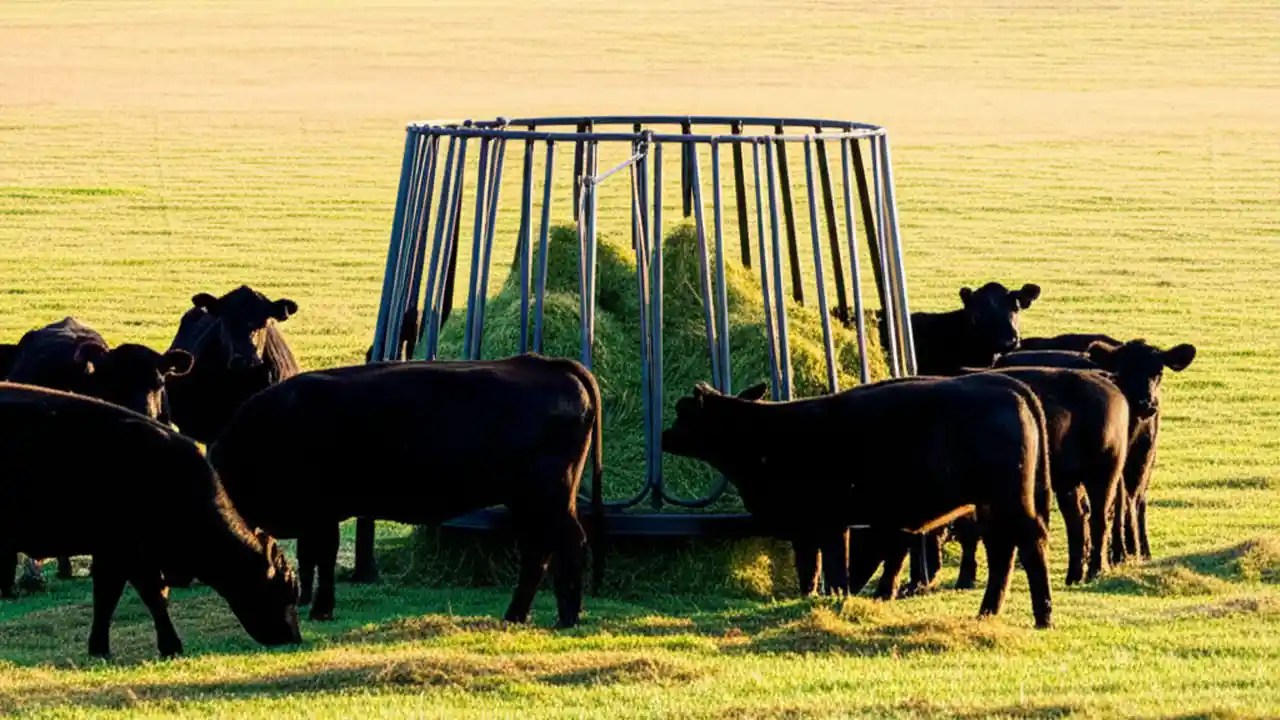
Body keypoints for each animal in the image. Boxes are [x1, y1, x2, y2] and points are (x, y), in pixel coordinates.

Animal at [0, 382, 302, 658]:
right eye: (285, 590)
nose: (294, 637)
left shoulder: (117, 555)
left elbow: (113, 597)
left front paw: (101, 648)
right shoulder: (127, 554)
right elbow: (145, 596)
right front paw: (169, 646)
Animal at [206, 353, 604, 628]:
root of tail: (544, 363)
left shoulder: (322, 512)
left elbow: (322, 556)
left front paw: (321, 609)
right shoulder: (317, 516)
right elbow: (312, 557)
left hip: (546, 496)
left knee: (568, 542)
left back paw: (567, 617)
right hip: (528, 501)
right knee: (538, 550)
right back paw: (516, 615)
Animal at [660, 374, 1055, 628]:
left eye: (682, 411)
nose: (664, 436)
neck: (767, 434)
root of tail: (1005, 385)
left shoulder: (829, 522)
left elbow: (835, 566)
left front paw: (835, 599)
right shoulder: (807, 528)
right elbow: (810, 569)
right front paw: (811, 599)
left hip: (1009, 501)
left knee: (1028, 544)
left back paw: (1042, 616)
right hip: (990, 506)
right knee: (1002, 550)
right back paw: (988, 612)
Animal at [996, 339, 1196, 562]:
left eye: (1158, 371)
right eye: (1122, 369)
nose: (1145, 402)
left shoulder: (1143, 458)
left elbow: (1132, 500)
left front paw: (1134, 548)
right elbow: (1118, 502)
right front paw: (1119, 551)